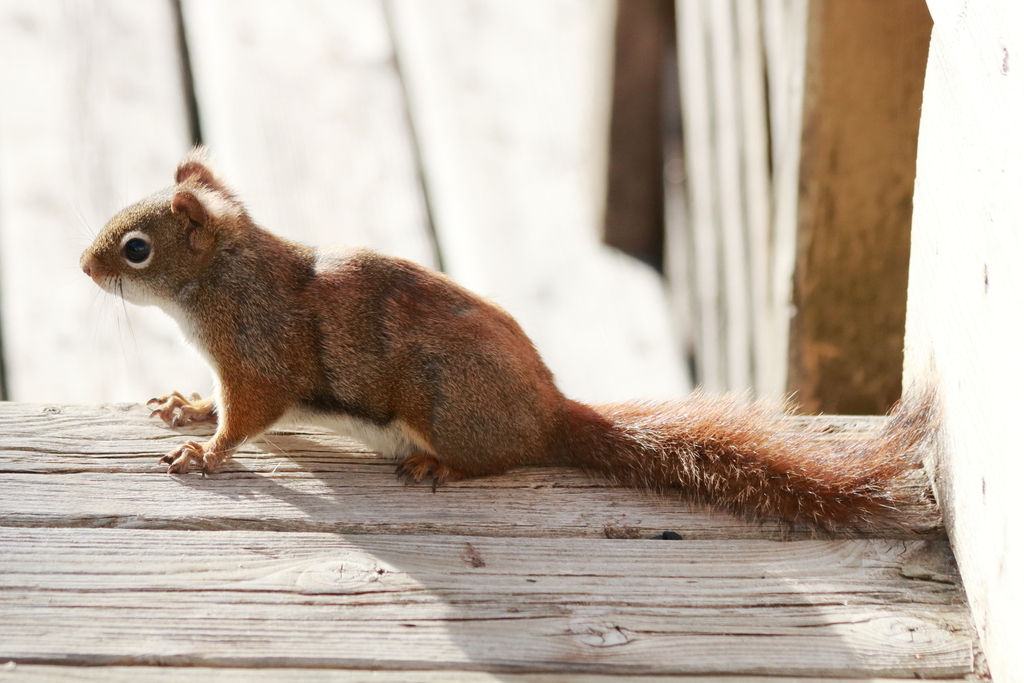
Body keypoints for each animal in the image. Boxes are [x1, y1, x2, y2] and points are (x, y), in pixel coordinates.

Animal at [80, 147, 933, 531]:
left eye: (136, 249)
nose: (85, 265)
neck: (220, 281)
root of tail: (550, 411)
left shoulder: (259, 356)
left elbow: (248, 416)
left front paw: (204, 450)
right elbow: (217, 400)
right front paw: (187, 405)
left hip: (446, 403)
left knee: (498, 459)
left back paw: (439, 467)